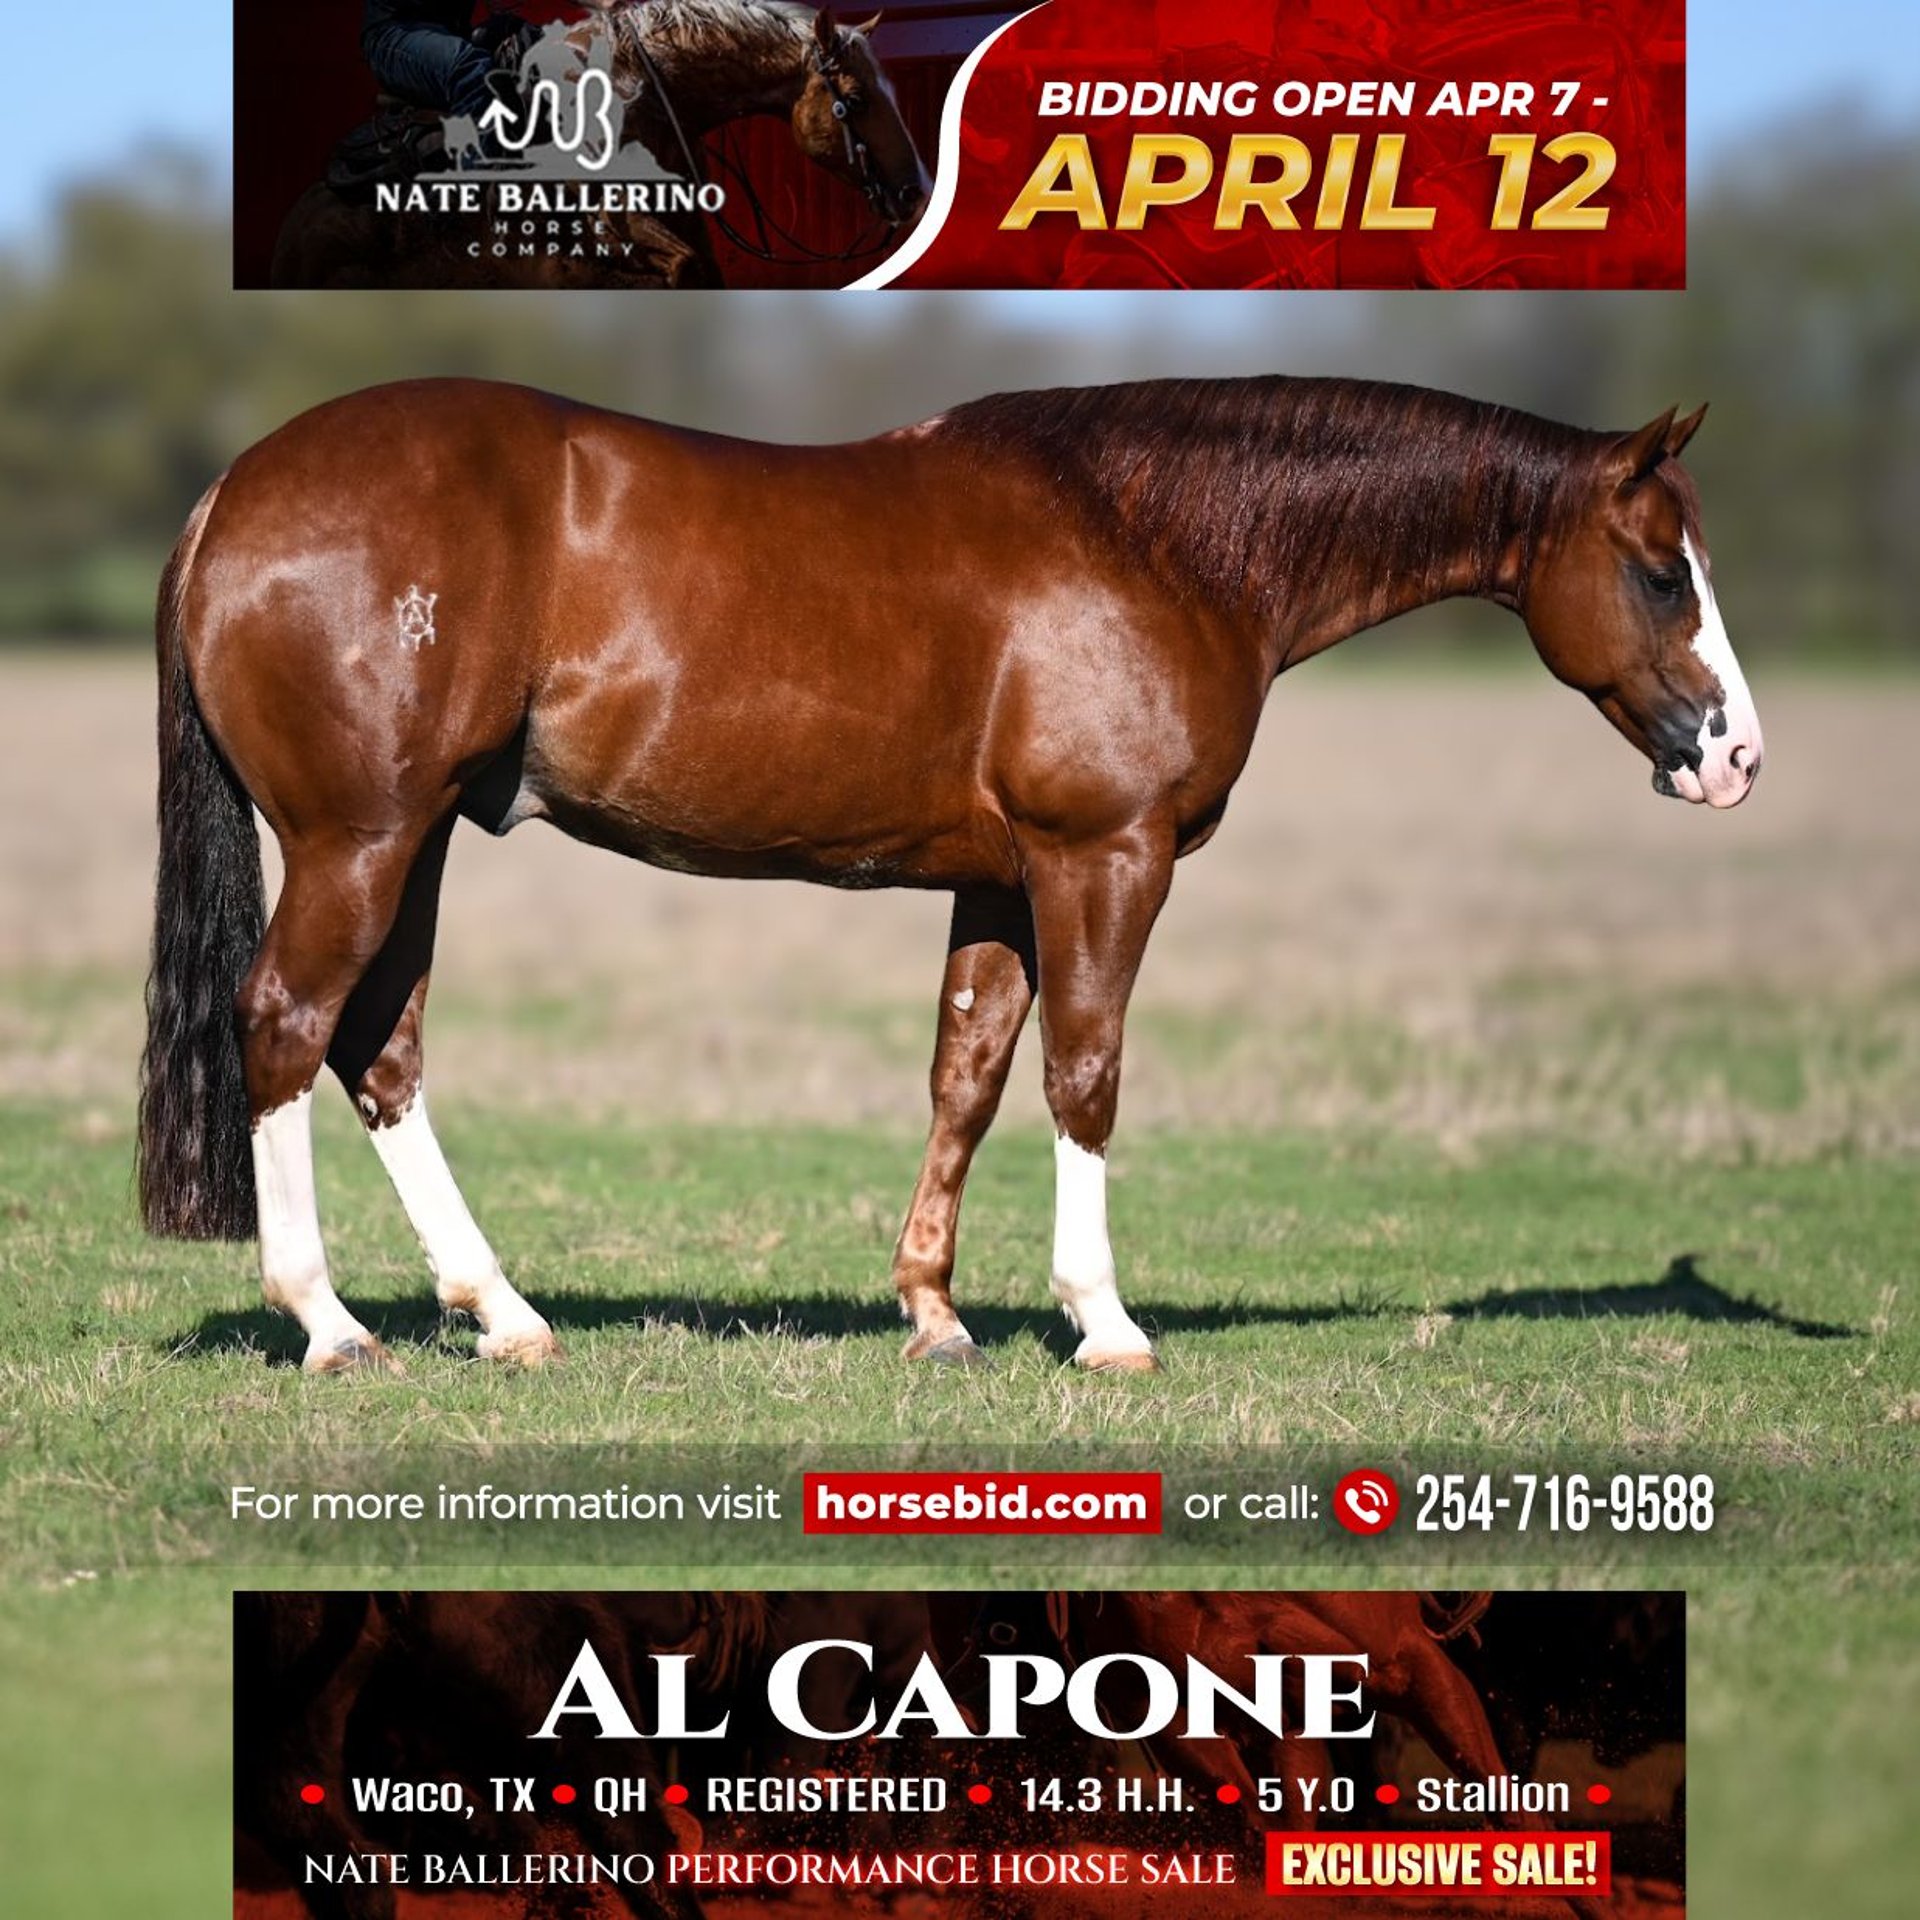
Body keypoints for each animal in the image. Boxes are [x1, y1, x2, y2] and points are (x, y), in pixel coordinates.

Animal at [137, 375, 1762, 1377]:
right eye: (1660, 569)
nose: (1737, 757)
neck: (1156, 537)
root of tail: (233, 492)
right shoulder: (1107, 857)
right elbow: (1086, 1075)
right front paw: (1104, 1323)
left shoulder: (1001, 885)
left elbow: (968, 1076)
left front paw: (932, 1313)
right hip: (360, 838)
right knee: (287, 1023)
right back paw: (329, 1322)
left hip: (410, 842)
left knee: (379, 1050)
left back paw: (503, 1311)